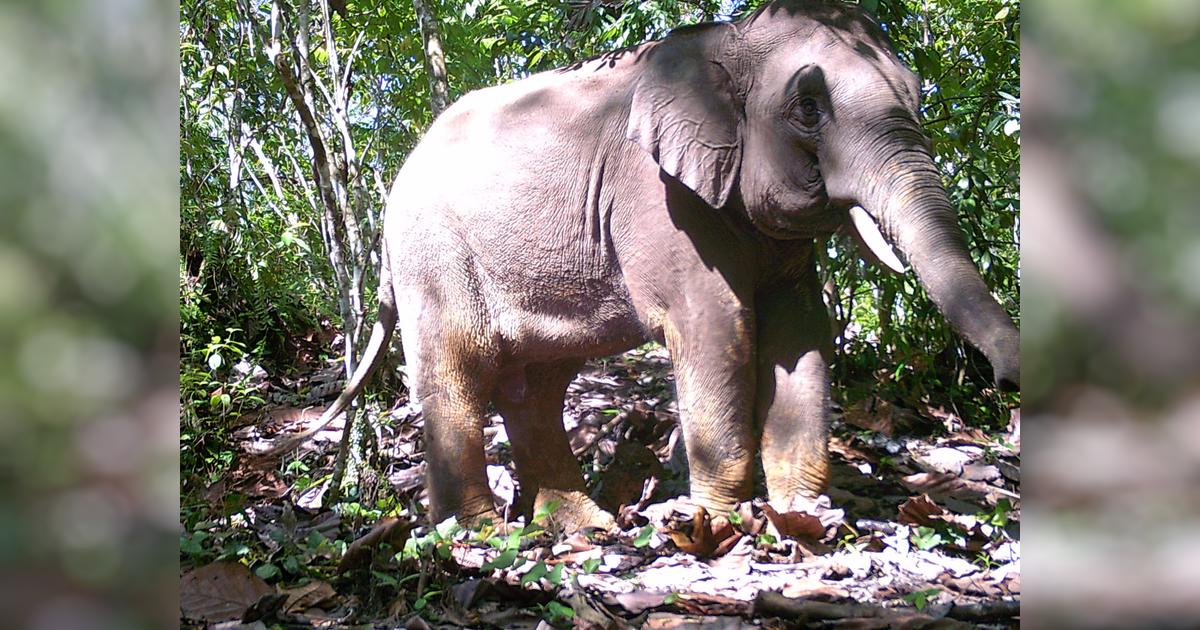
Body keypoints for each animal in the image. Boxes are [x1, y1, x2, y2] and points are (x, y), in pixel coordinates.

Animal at [271, 0, 1020, 532]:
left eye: (919, 95)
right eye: (808, 108)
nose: (1009, 380)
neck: (725, 40)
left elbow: (800, 331)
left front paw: (806, 521)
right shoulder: (657, 200)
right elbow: (717, 325)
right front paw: (713, 526)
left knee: (536, 385)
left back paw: (583, 527)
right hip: (434, 257)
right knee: (459, 369)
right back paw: (479, 534)